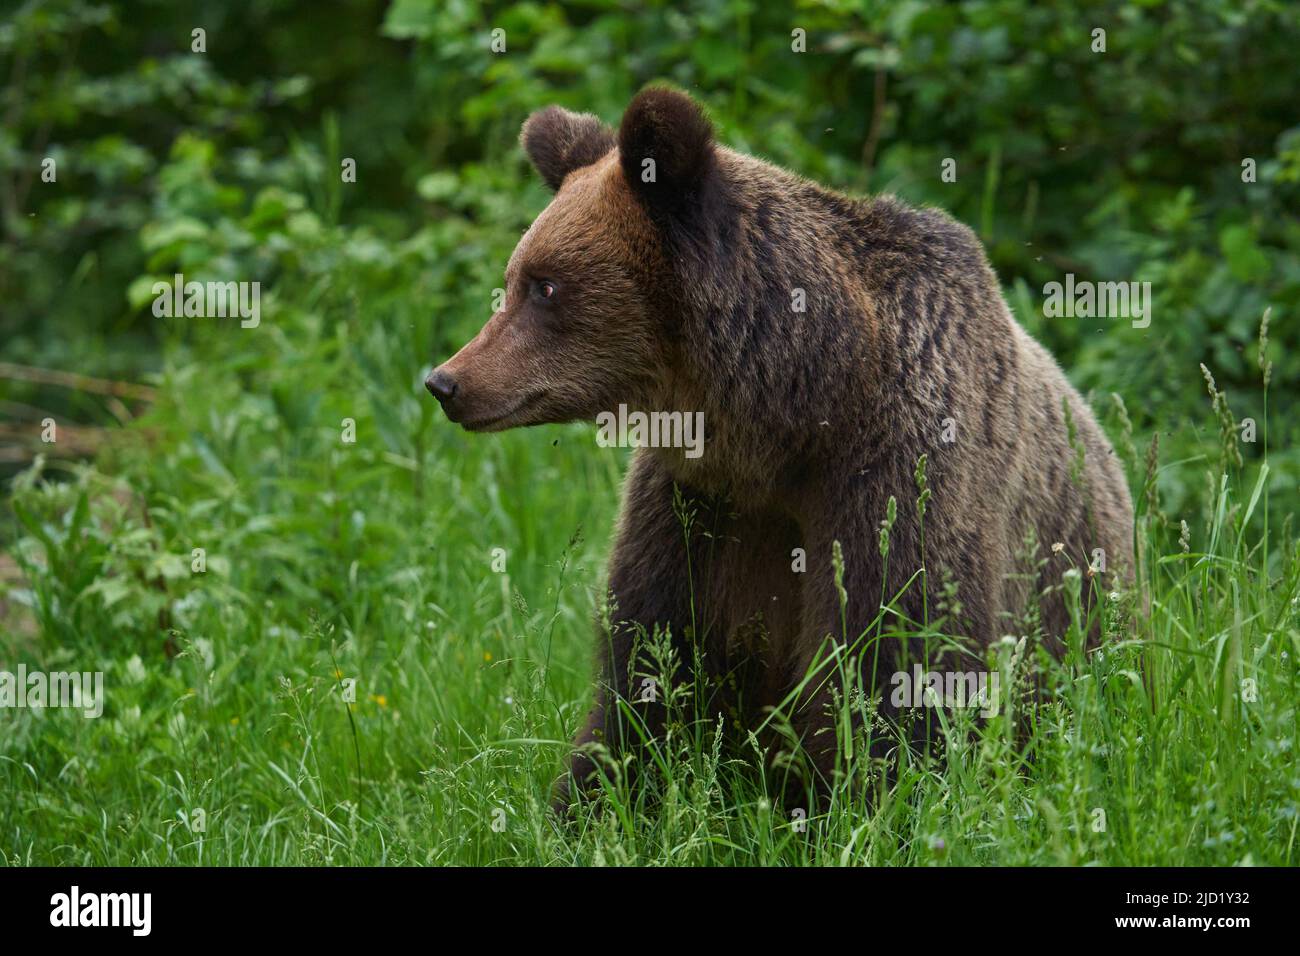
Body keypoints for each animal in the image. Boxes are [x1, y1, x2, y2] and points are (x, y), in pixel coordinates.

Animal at [426, 86, 1135, 809]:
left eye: (544, 285)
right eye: (516, 276)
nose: (447, 381)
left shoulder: (897, 473)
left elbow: (898, 655)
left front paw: (878, 799)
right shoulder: (699, 506)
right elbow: (651, 667)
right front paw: (594, 800)